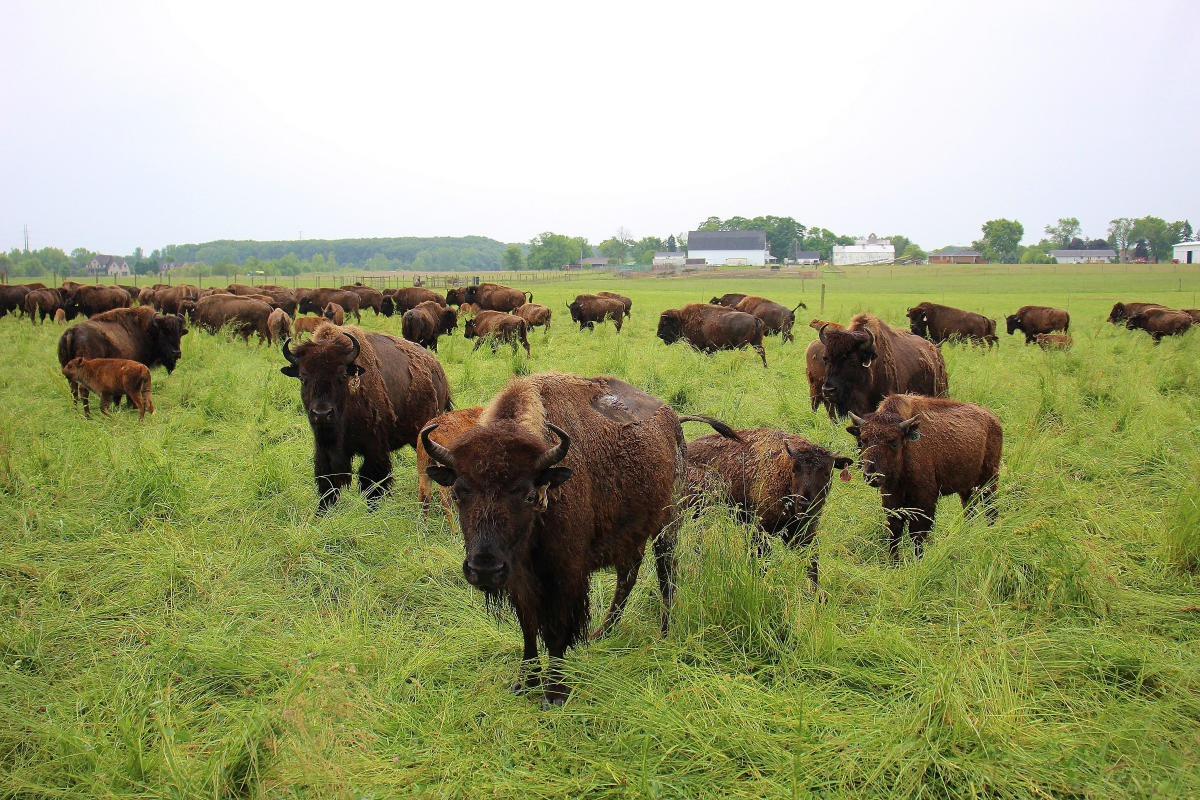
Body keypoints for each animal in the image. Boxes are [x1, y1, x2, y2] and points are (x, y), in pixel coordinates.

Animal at [281, 323, 452, 513]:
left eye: (342, 376)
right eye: (303, 378)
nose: (322, 414)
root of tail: (438, 371)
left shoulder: (375, 448)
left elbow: (371, 481)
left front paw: (372, 510)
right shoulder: (324, 449)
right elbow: (328, 481)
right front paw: (322, 512)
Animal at [846, 394, 1001, 560]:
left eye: (893, 442)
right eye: (863, 440)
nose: (872, 475)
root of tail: (993, 419)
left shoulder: (924, 501)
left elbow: (917, 534)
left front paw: (918, 560)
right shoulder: (891, 499)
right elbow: (894, 531)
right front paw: (893, 561)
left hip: (989, 481)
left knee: (990, 510)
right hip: (967, 487)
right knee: (969, 510)